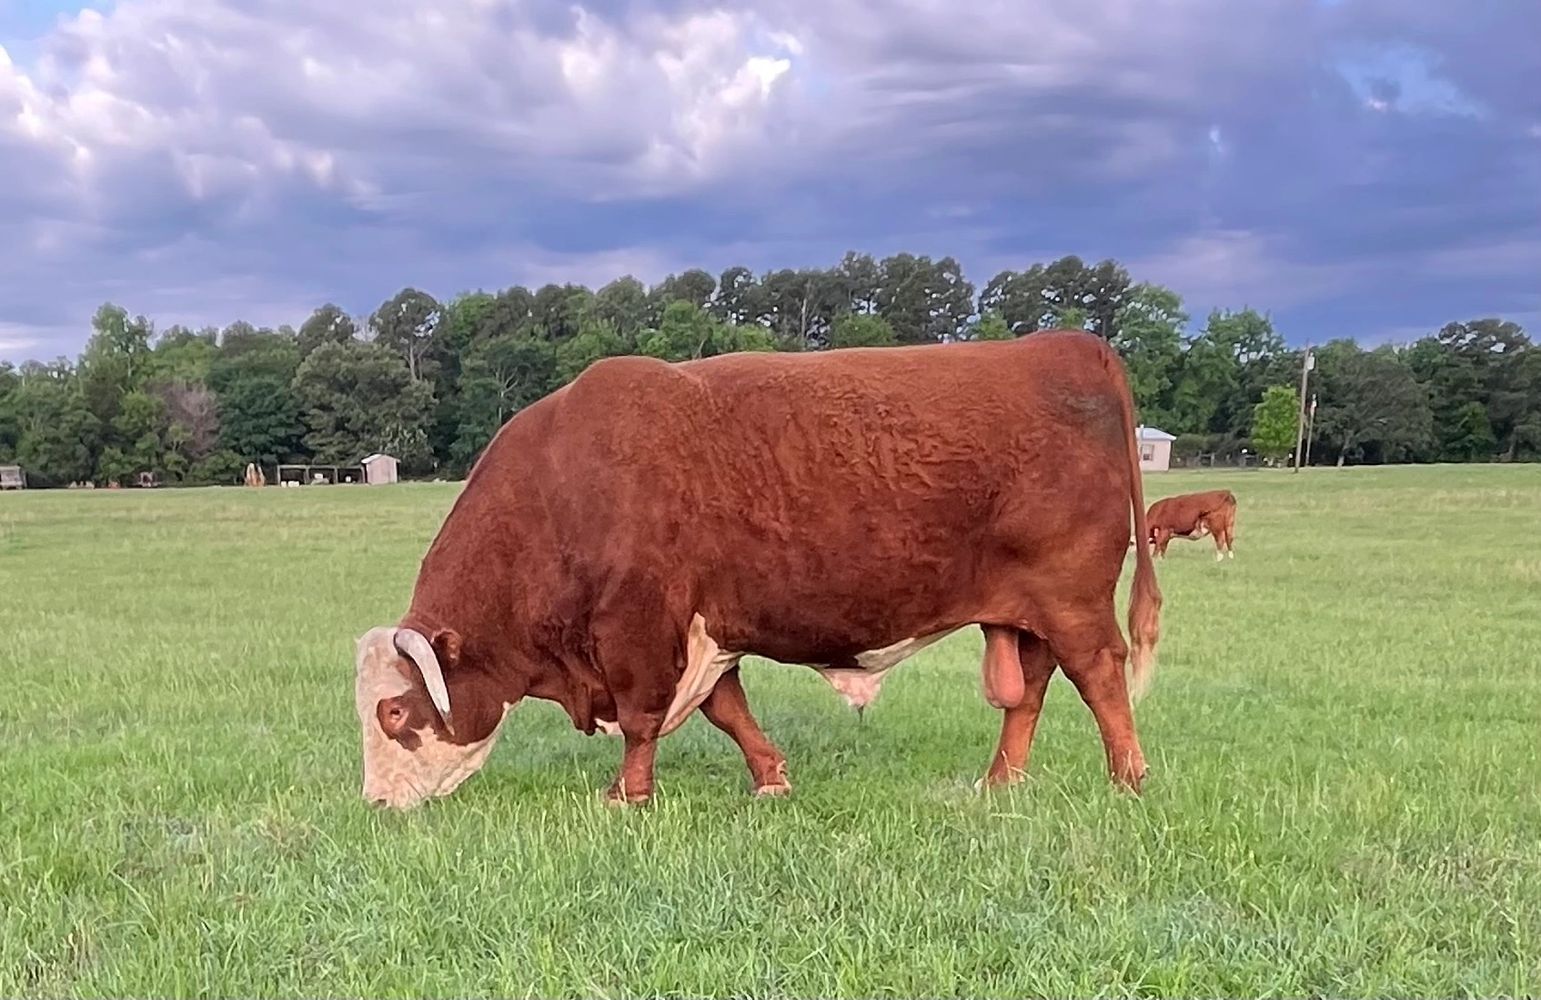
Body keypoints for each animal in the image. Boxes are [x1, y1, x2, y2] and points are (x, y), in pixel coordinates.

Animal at [353, 330, 1163, 809]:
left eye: (392, 713)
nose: (375, 803)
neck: (563, 486)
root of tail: (1064, 343)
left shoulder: (639, 629)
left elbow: (644, 721)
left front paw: (627, 795)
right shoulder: (707, 628)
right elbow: (728, 709)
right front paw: (771, 777)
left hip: (1070, 597)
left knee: (1098, 673)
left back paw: (1127, 776)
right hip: (1022, 612)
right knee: (1029, 690)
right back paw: (1000, 782)